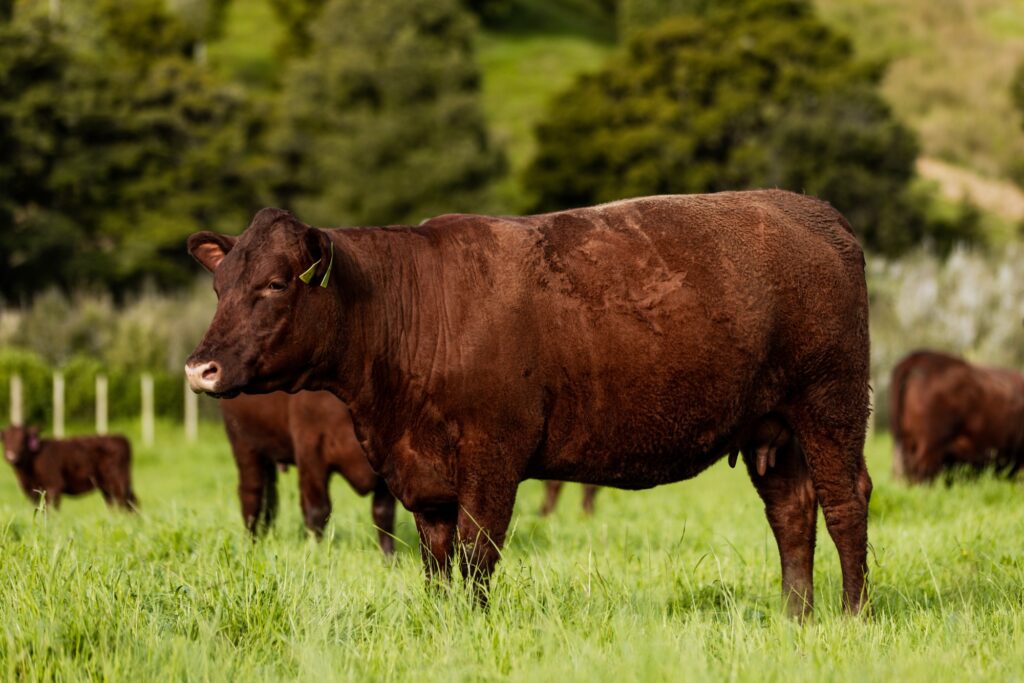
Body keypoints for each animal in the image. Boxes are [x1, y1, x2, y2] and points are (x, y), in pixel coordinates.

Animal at [1, 424, 137, 510]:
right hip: (107, 487)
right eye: (5, 440)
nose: (11, 455)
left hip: (118, 481)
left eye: (23, 440)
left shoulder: (54, 486)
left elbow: (50, 510)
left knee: (126, 503)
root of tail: (120, 437)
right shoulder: (32, 491)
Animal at [220, 390, 396, 553]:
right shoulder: (309, 450)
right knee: (251, 494)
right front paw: (315, 553)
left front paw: (390, 558)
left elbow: (383, 514)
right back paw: (251, 543)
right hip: (243, 443)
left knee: (270, 500)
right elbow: (319, 510)